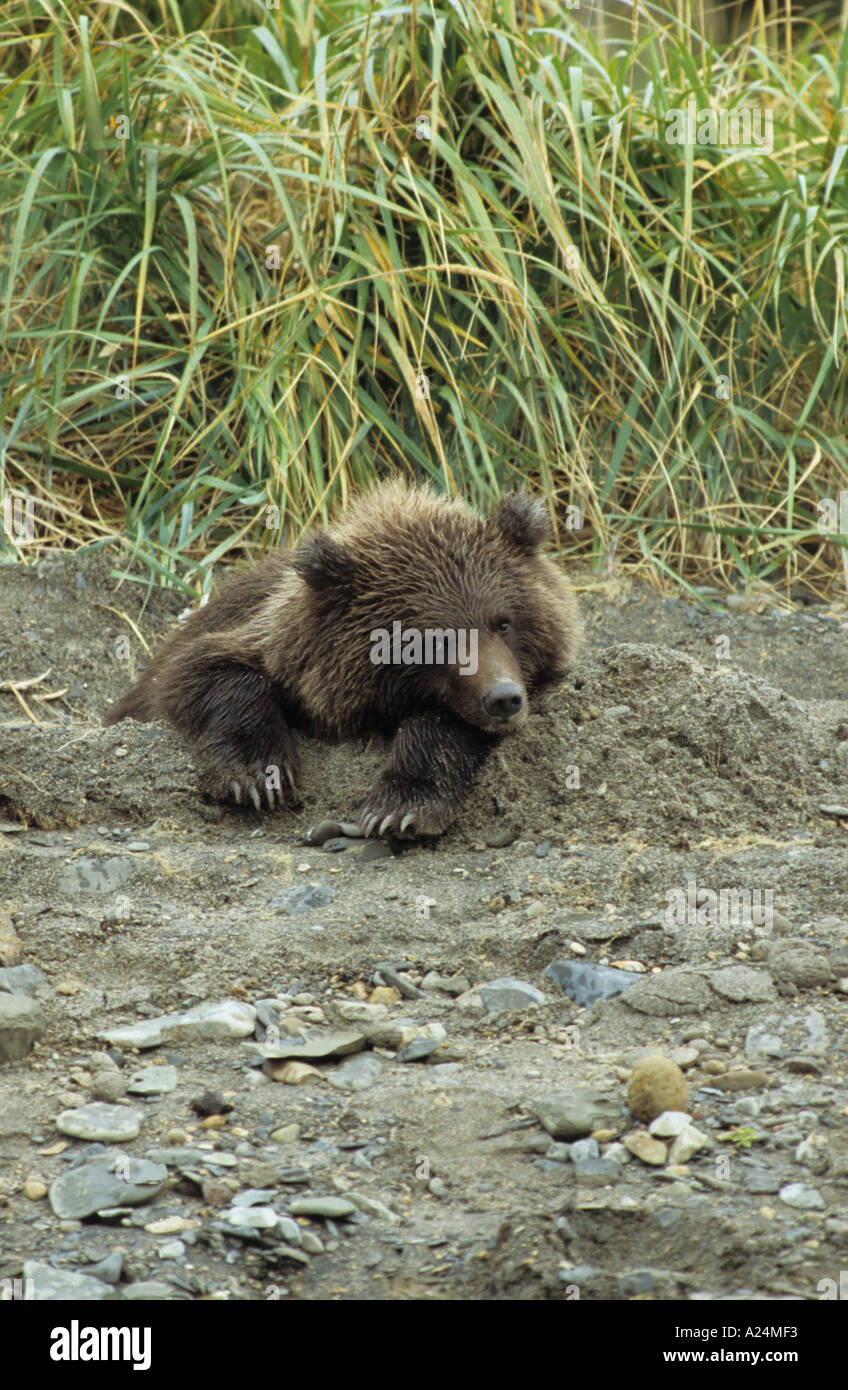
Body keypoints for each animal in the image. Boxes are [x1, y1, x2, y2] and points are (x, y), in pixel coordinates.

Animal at [104, 480, 581, 837]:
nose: (503, 698)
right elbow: (202, 671)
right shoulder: (263, 637)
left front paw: (399, 807)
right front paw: (258, 776)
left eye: (503, 622)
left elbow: (444, 725)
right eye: (430, 639)